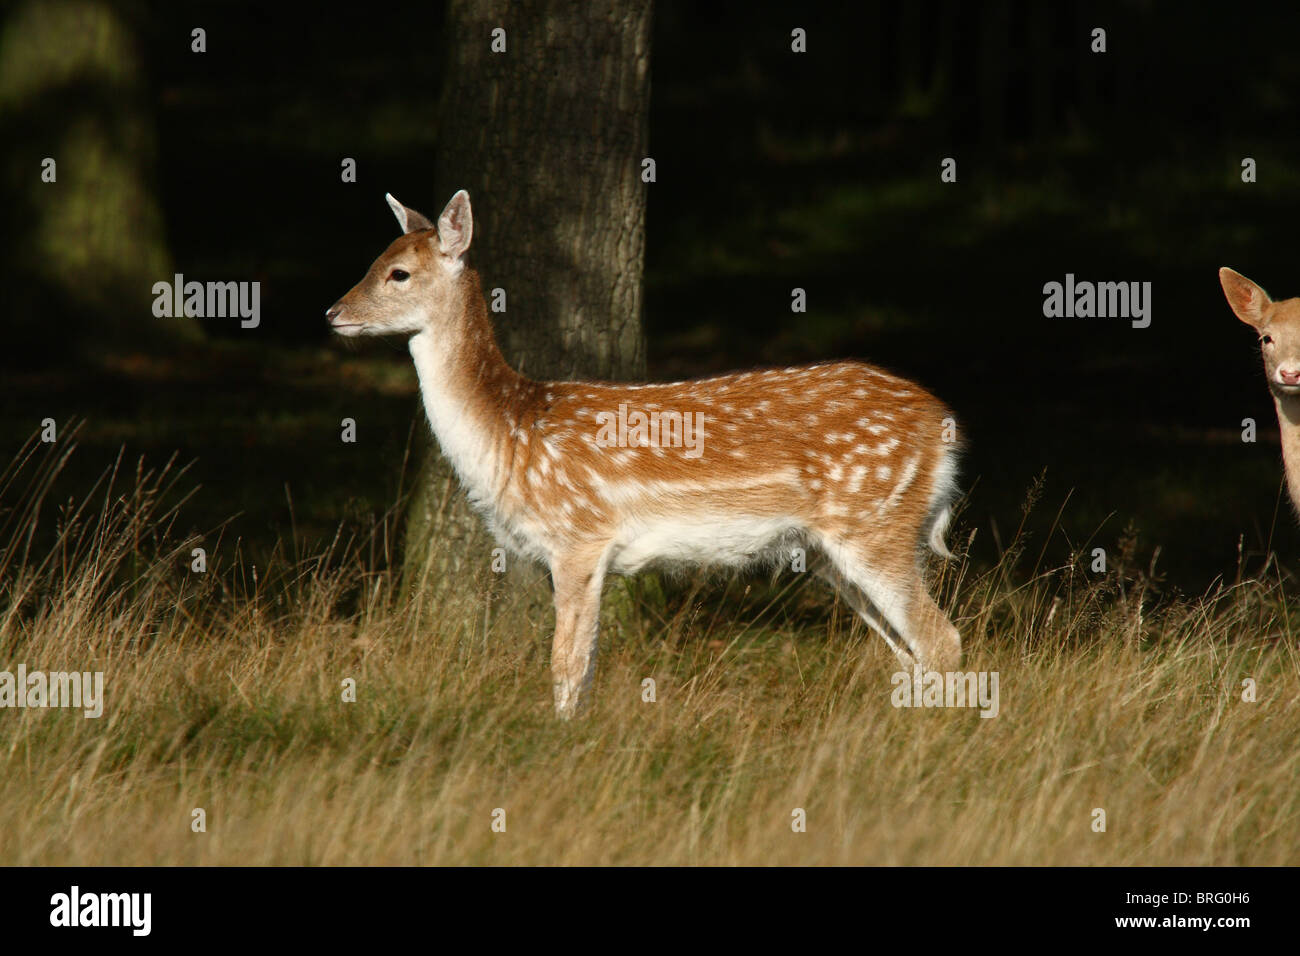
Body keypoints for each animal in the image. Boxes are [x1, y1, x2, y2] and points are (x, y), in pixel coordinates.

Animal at [328, 191, 964, 718]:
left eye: (399, 273)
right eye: (376, 259)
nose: (333, 313)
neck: (511, 435)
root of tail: (945, 428)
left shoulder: (581, 534)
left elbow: (566, 665)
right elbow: (583, 667)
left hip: (874, 522)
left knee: (941, 639)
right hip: (831, 551)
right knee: (908, 652)